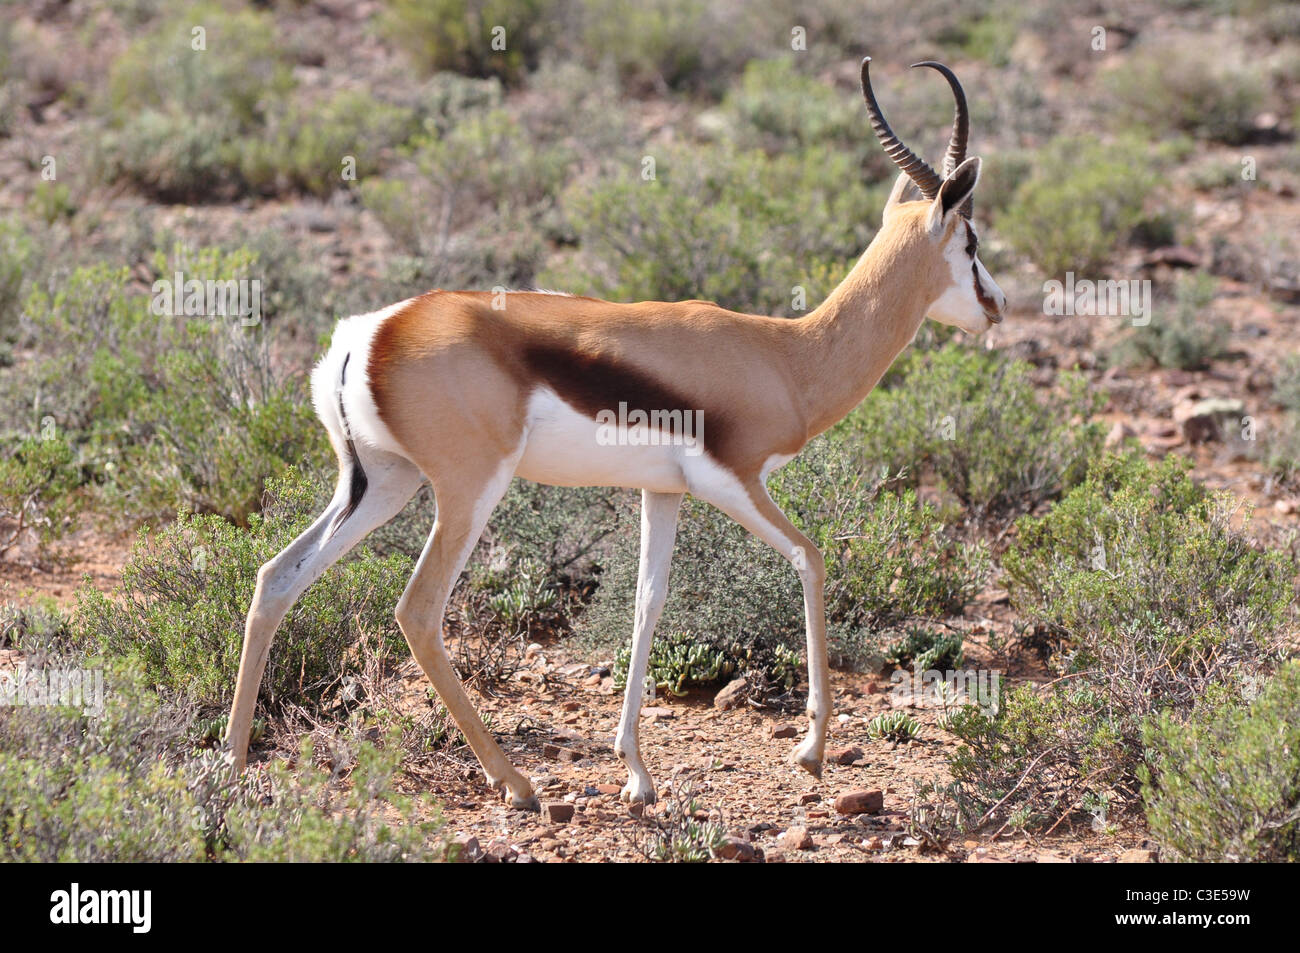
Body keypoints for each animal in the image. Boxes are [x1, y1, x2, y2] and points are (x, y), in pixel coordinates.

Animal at [225, 58, 1005, 810]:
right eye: (970, 240)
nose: (997, 304)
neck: (788, 357)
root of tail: (369, 332)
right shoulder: (736, 481)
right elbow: (810, 559)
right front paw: (810, 752)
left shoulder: (664, 493)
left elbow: (645, 604)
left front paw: (637, 775)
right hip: (468, 489)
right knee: (418, 611)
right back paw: (517, 784)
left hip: (381, 483)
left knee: (276, 577)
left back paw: (231, 763)